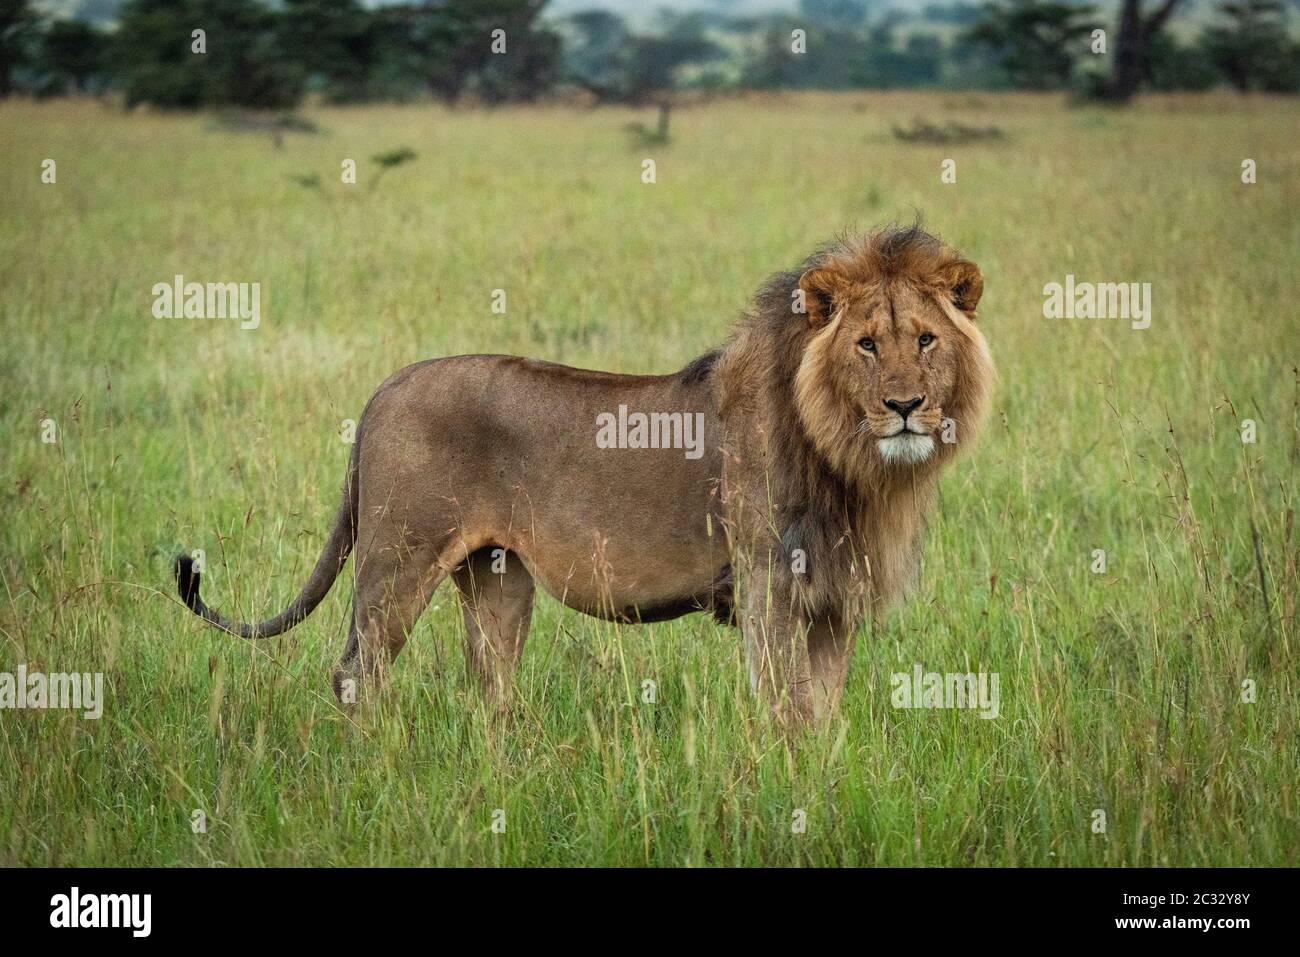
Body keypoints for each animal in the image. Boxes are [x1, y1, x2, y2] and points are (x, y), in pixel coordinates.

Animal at [175, 225, 993, 724]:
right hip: (396, 559)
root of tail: (383, 389)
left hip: (495, 577)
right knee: (356, 674)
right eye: (865, 344)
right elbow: (782, 706)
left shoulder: (835, 597)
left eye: (925, 340)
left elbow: (821, 713)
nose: (906, 406)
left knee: (489, 689)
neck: (855, 466)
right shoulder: (768, 582)